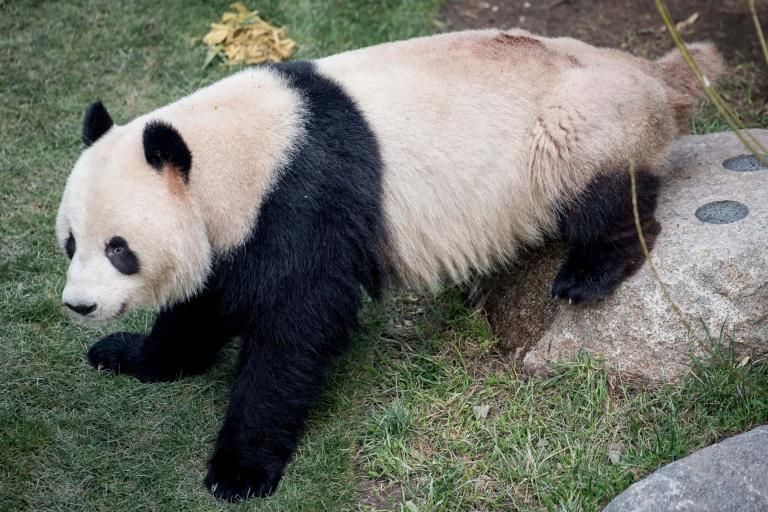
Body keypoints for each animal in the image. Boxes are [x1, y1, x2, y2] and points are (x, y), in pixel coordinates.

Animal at [56, 29, 722, 500]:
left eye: (119, 248)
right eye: (71, 242)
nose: (79, 305)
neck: (238, 150)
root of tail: (651, 74)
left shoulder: (302, 200)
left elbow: (296, 326)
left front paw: (239, 470)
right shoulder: (241, 226)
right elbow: (205, 304)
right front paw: (129, 354)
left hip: (579, 123)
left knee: (601, 190)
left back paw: (590, 273)